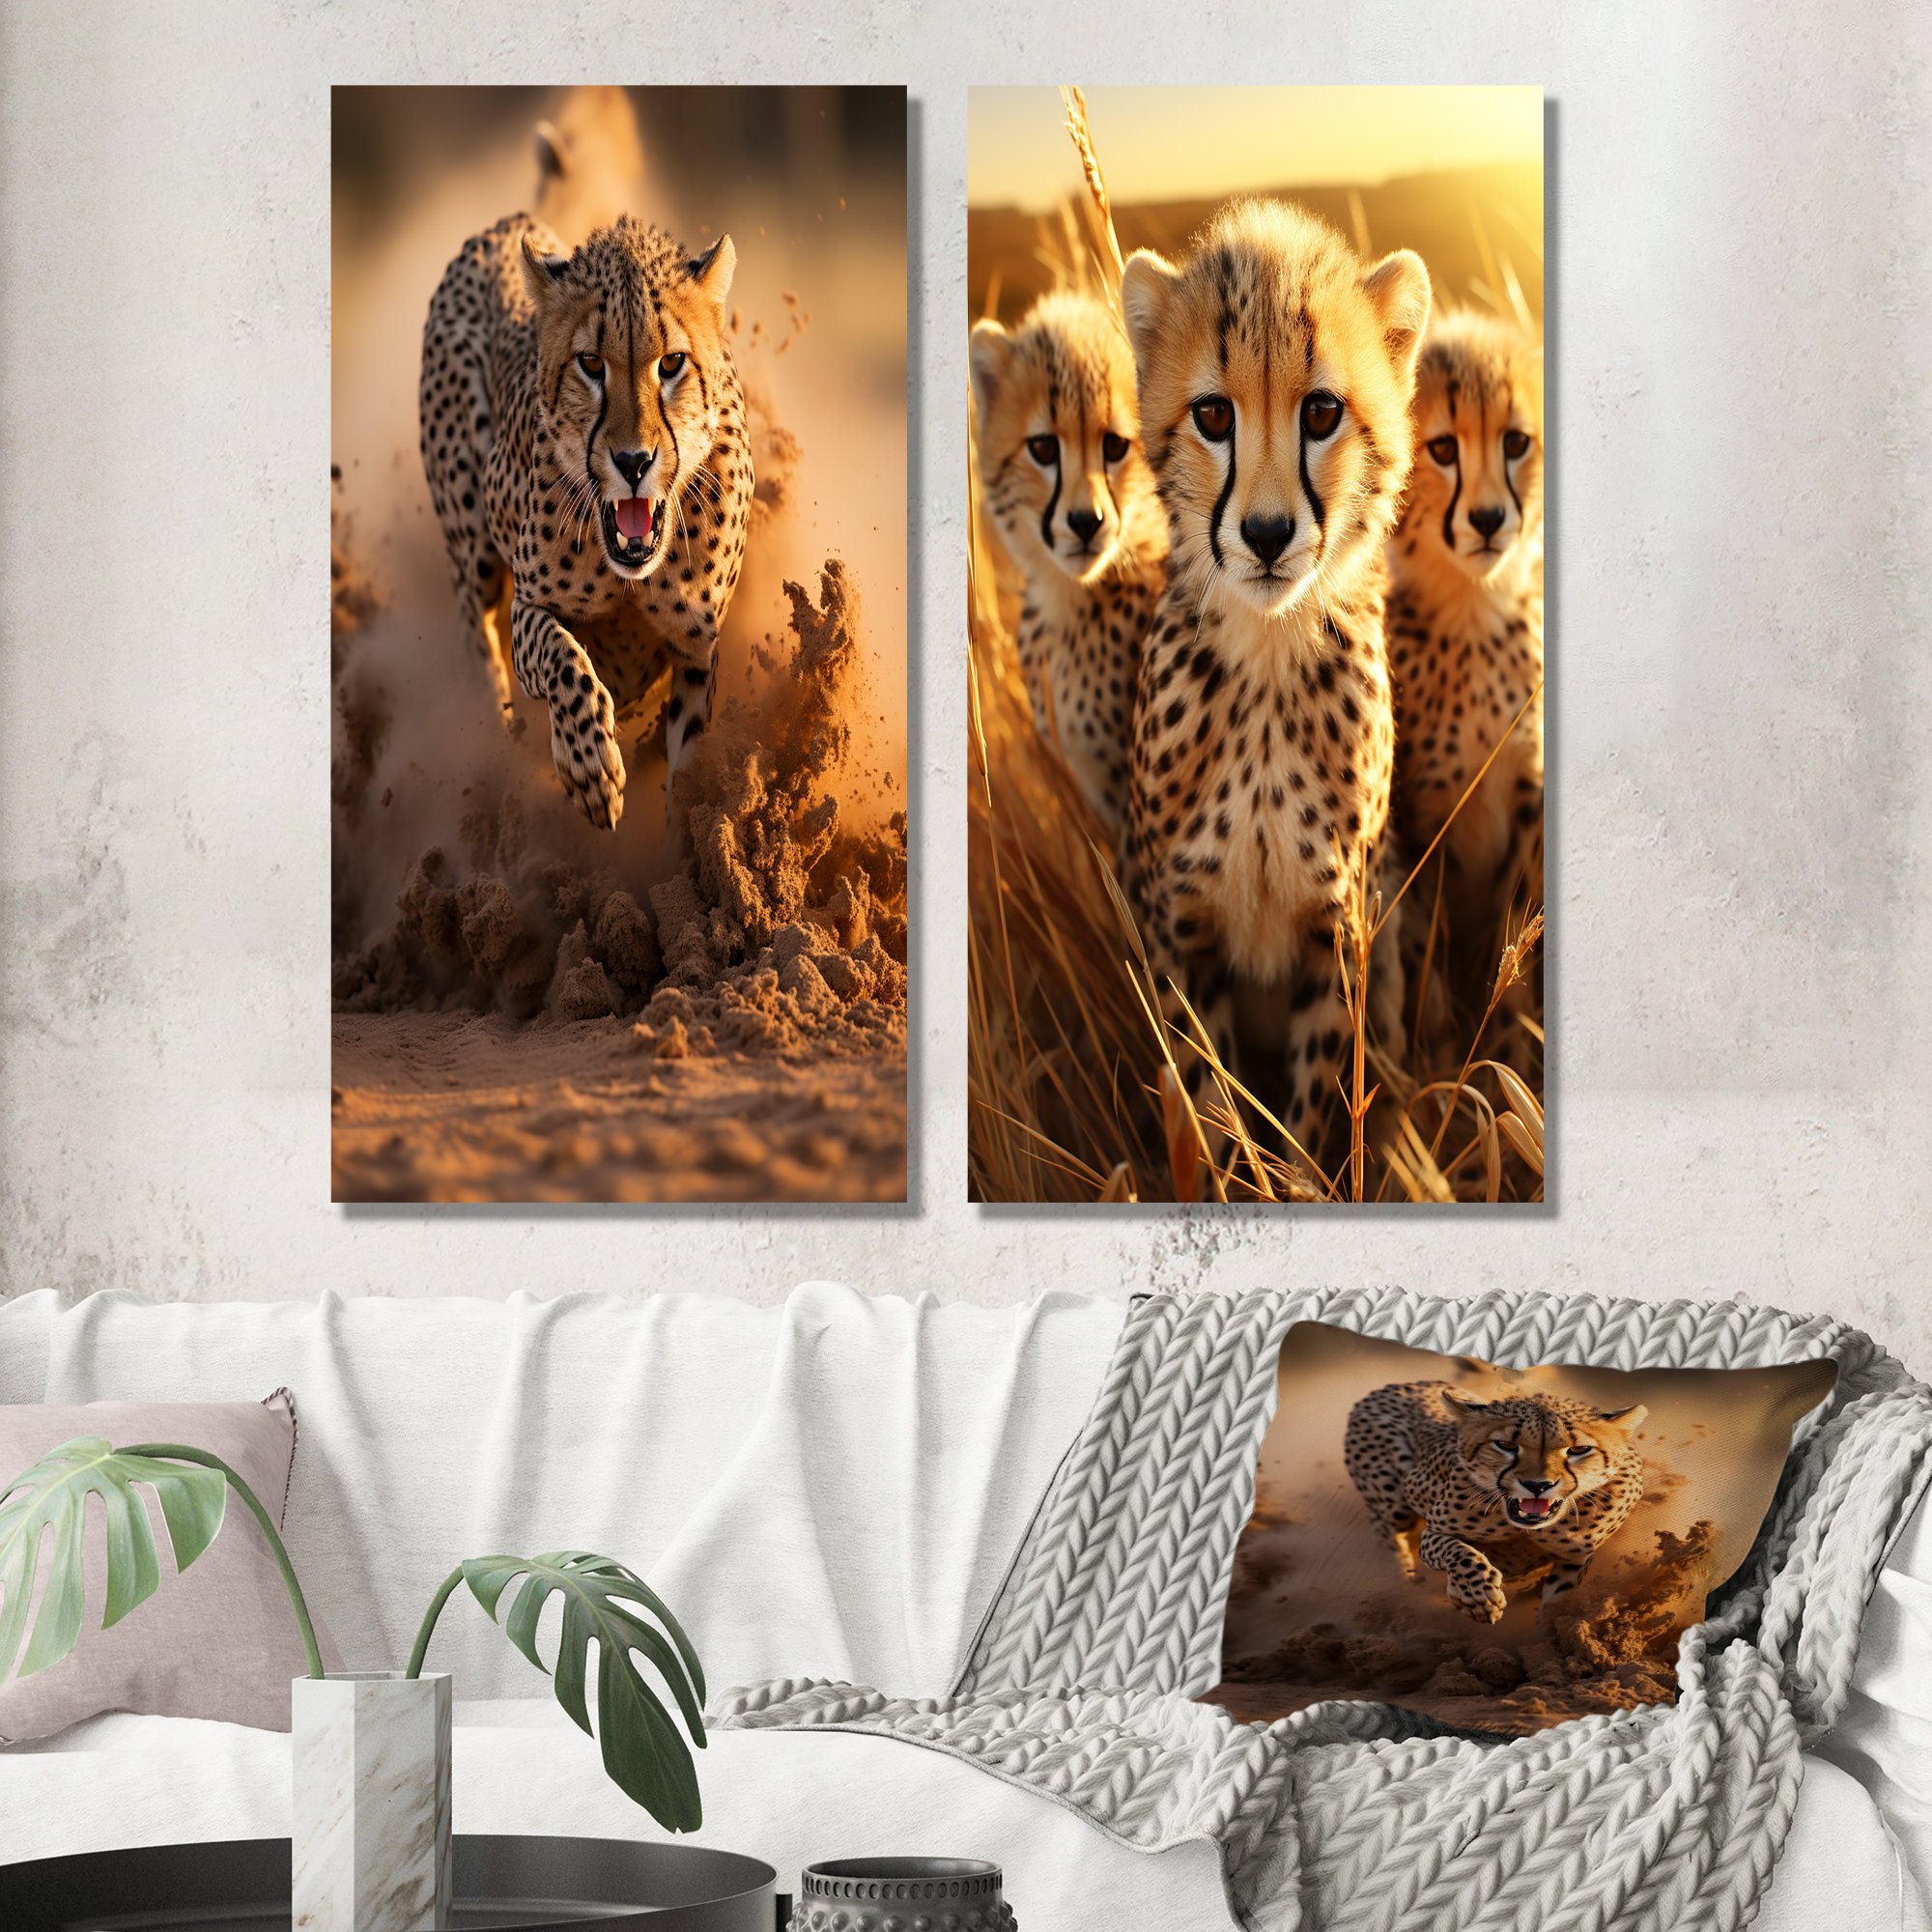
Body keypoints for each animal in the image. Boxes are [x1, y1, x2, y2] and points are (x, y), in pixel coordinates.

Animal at [419, 208, 752, 829]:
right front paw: (588, 763)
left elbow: (688, 777)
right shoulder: (529, 607)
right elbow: (562, 656)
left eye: (672, 363)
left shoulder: (698, 652)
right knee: (479, 653)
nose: (633, 462)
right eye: (591, 365)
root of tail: (506, 225)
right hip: (471, 554)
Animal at [1118, 199, 1430, 1160]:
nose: (1263, 534)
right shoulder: (1179, 932)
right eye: (1214, 415)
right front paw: (1228, 1168)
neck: (1265, 663)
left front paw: (1293, 1176)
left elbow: (1305, 1118)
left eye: (1322, 411)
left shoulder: (1340, 934)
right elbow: (1207, 1104)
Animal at [1343, 1380, 1647, 1624]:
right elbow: (1460, 1552)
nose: (1537, 1486)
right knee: (1388, 1535)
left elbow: (1554, 1608)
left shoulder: (1573, 1559)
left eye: (1579, 1449)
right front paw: (1477, 1597)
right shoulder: (1433, 1528)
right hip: (1393, 1498)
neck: (1525, 1528)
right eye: (1507, 1445)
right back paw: (1403, 1584)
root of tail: (1409, 1384)